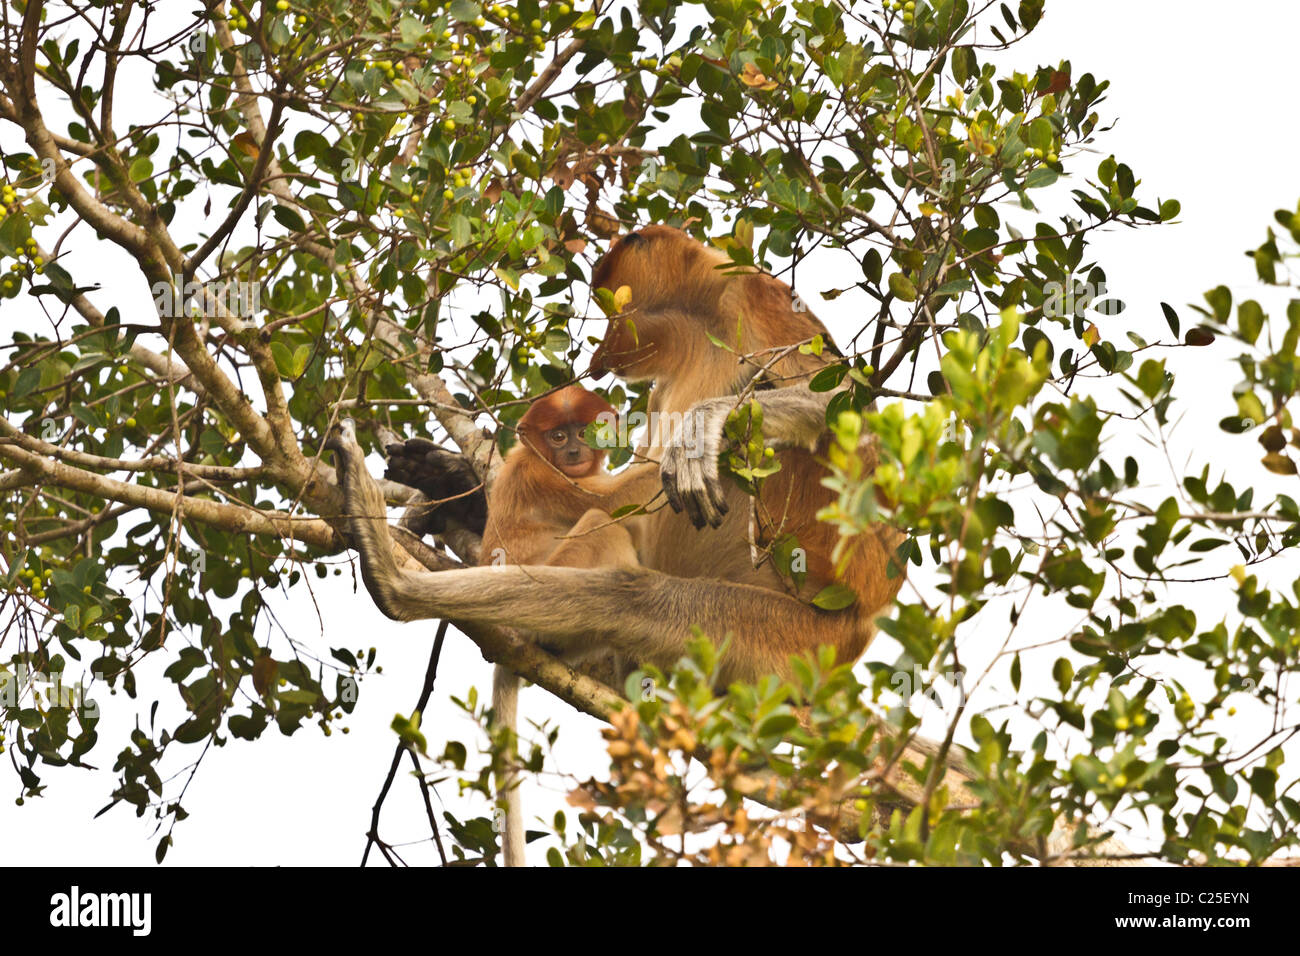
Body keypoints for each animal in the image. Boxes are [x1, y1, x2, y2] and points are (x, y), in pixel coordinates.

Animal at [326, 225, 906, 862]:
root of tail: (863, 621)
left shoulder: (761, 302)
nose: (601, 353)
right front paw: (447, 480)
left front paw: (705, 424)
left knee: (635, 593)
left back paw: (393, 582)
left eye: (611, 307)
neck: (701, 319)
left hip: (796, 640)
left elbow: (840, 407)